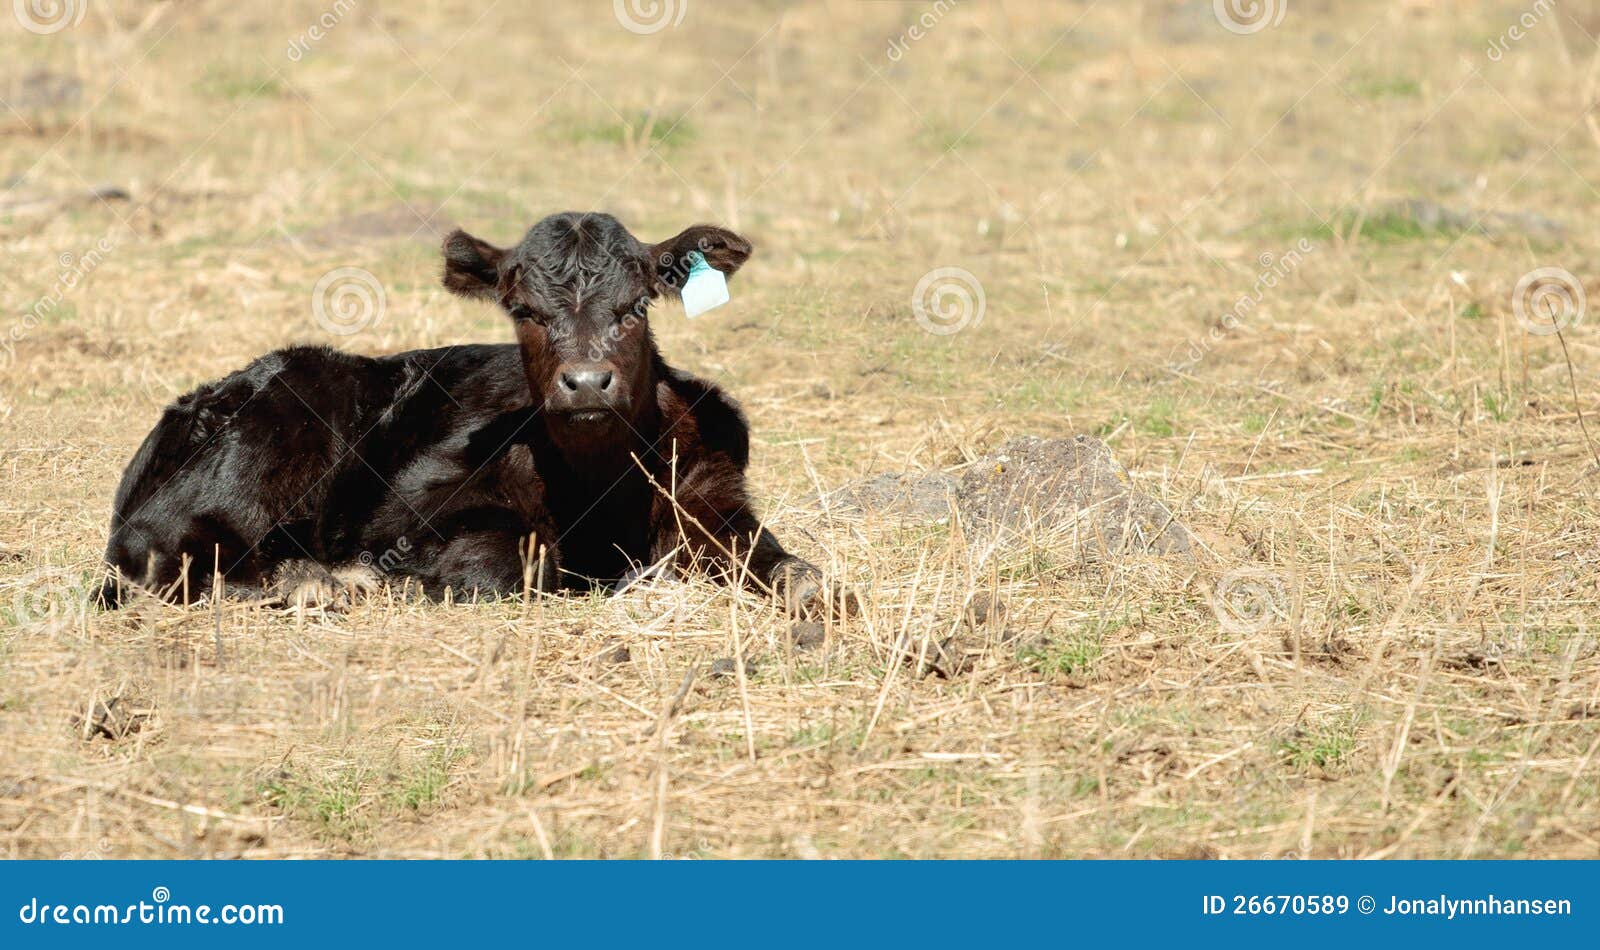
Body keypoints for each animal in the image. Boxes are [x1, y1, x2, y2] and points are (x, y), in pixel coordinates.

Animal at [96, 212, 848, 618]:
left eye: (635, 305)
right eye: (524, 311)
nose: (586, 382)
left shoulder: (711, 498)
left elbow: (784, 563)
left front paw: (815, 590)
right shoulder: (414, 512)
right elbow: (515, 562)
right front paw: (391, 578)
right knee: (167, 554)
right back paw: (319, 581)